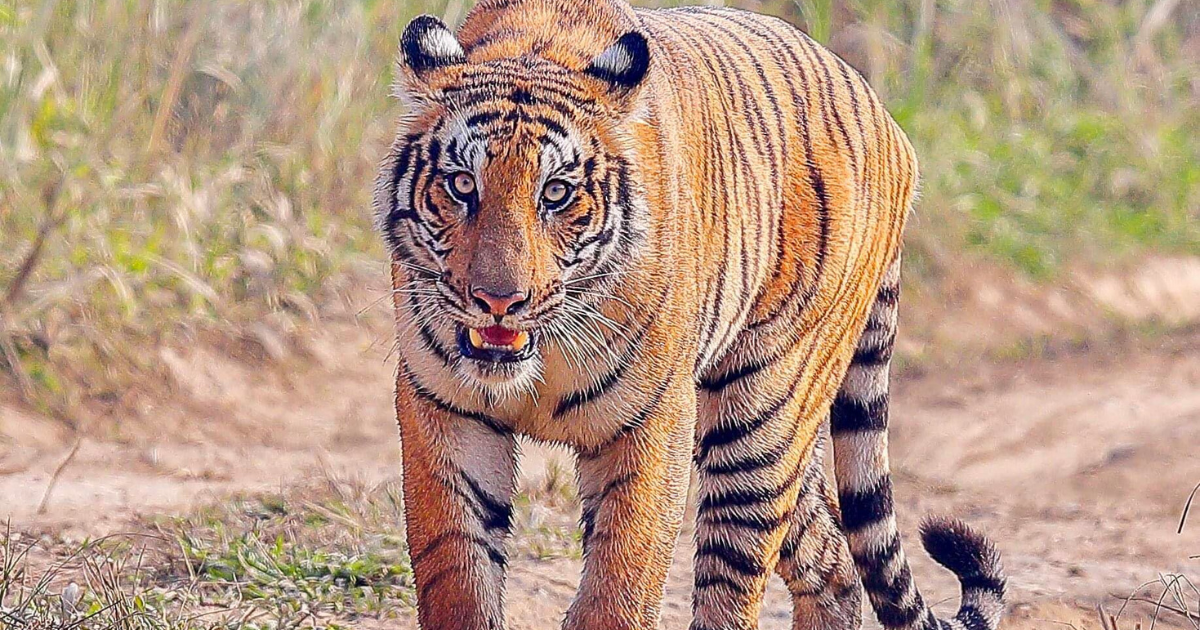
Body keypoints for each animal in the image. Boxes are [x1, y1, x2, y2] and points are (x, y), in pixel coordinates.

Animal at [374, 0, 1007, 629]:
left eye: (555, 193)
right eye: (462, 185)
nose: (500, 301)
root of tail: (887, 121)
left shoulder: (652, 424)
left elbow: (618, 588)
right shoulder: (445, 410)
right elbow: (459, 576)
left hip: (763, 421)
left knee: (739, 575)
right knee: (834, 566)